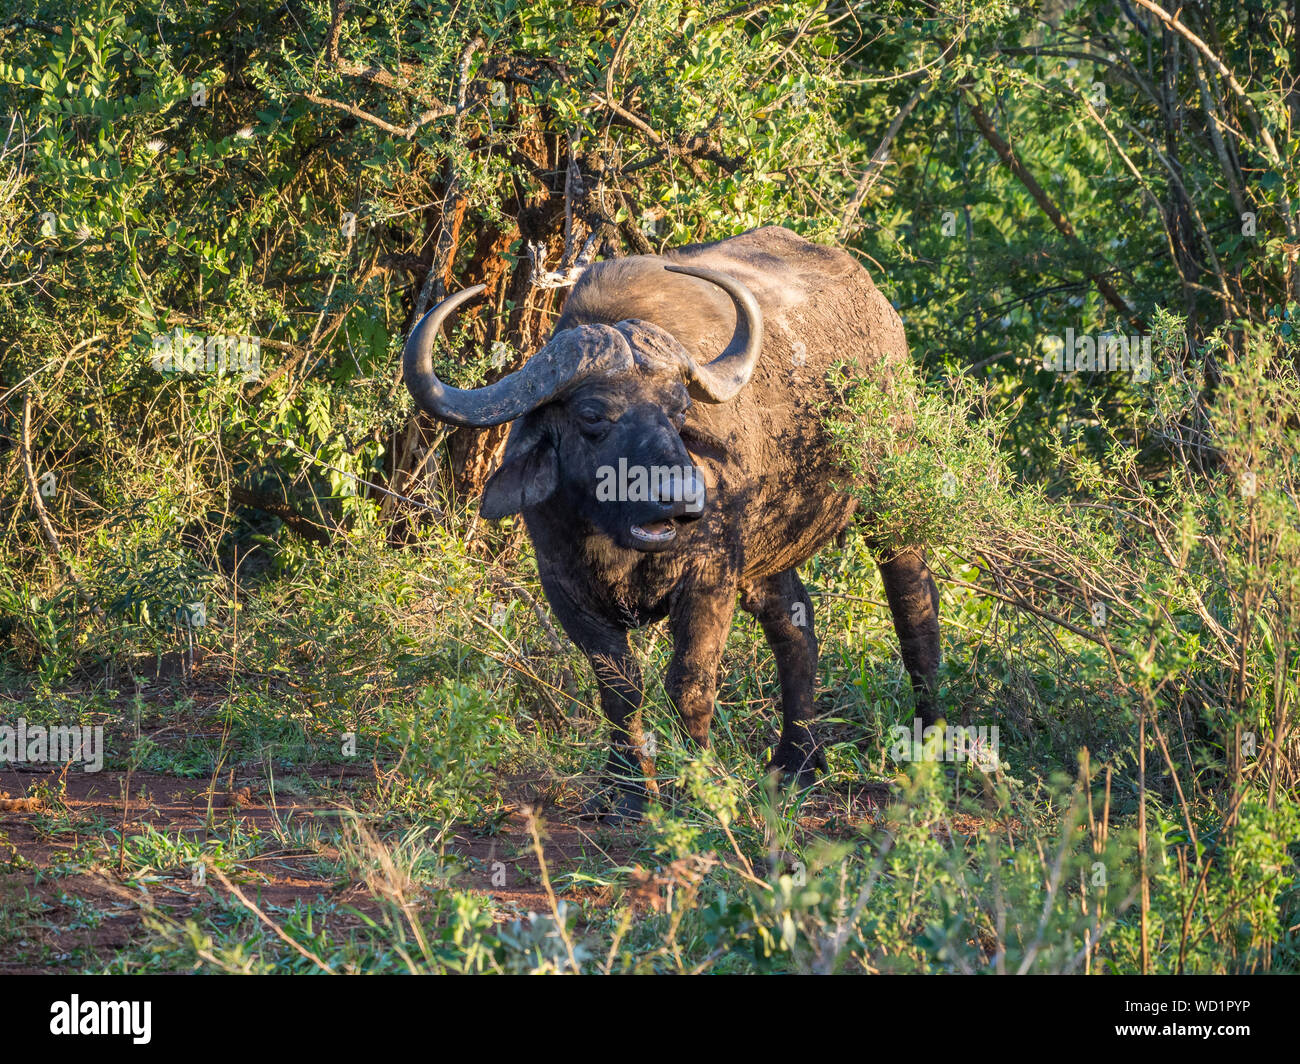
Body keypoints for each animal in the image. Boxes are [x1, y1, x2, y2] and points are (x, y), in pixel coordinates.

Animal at [404, 225, 941, 821]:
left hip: (891, 502)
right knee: (795, 629)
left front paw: (700, 785)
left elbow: (690, 683)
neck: (619, 544)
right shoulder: (564, 588)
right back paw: (797, 761)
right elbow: (619, 689)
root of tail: (881, 311)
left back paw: (928, 740)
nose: (682, 498)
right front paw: (628, 789)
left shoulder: (709, 581)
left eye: (680, 410)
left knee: (915, 602)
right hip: (766, 558)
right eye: (592, 415)